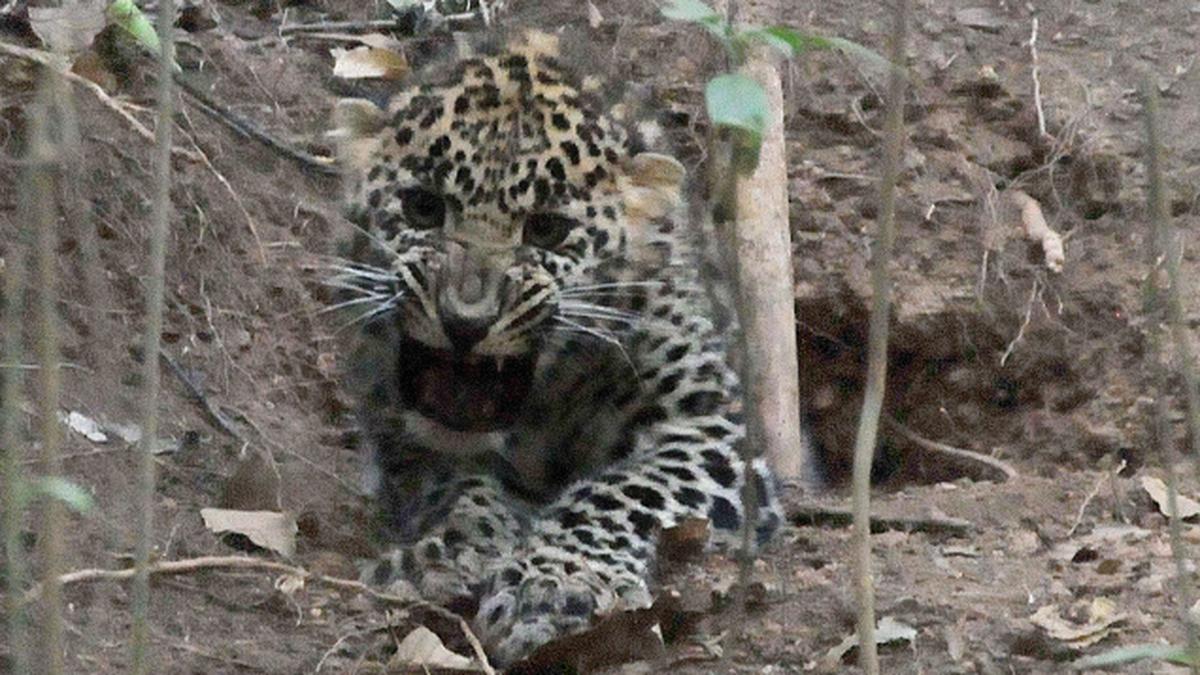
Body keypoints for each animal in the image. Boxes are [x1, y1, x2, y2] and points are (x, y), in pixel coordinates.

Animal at [329, 31, 782, 666]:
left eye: (546, 230)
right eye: (423, 207)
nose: (465, 321)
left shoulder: (715, 428)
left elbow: (624, 488)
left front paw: (556, 585)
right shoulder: (398, 437)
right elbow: (458, 488)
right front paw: (445, 554)